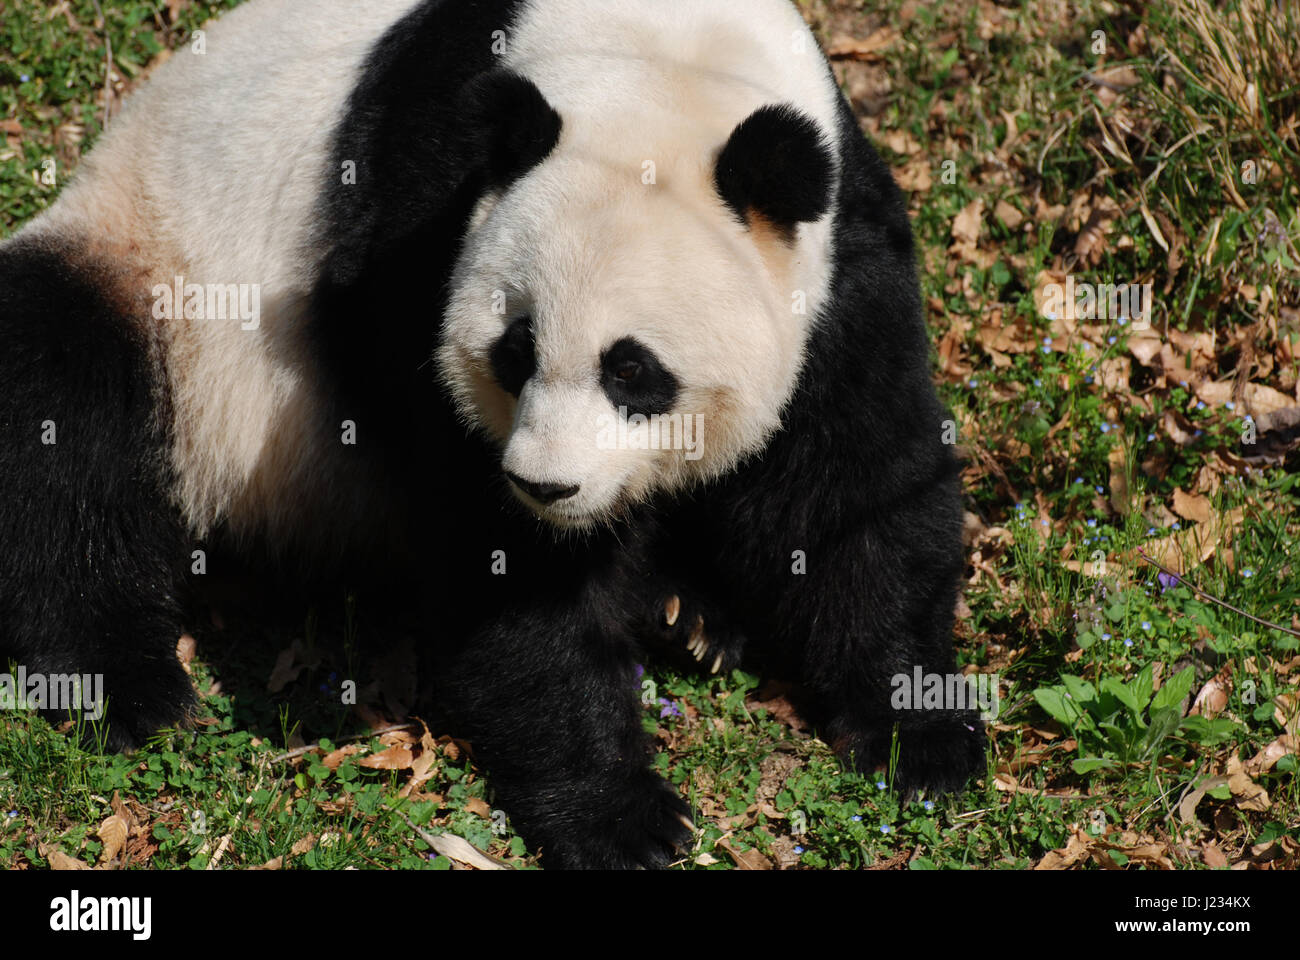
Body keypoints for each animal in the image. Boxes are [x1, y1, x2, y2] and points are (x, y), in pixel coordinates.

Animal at [0, 0, 984, 868]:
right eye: (515, 353)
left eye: (634, 372)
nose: (547, 487)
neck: (661, 58)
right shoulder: (418, 216)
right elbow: (483, 535)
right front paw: (622, 813)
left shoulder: (841, 251)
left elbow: (855, 484)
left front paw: (925, 735)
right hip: (151, 276)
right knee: (61, 405)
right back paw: (129, 685)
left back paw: (687, 616)